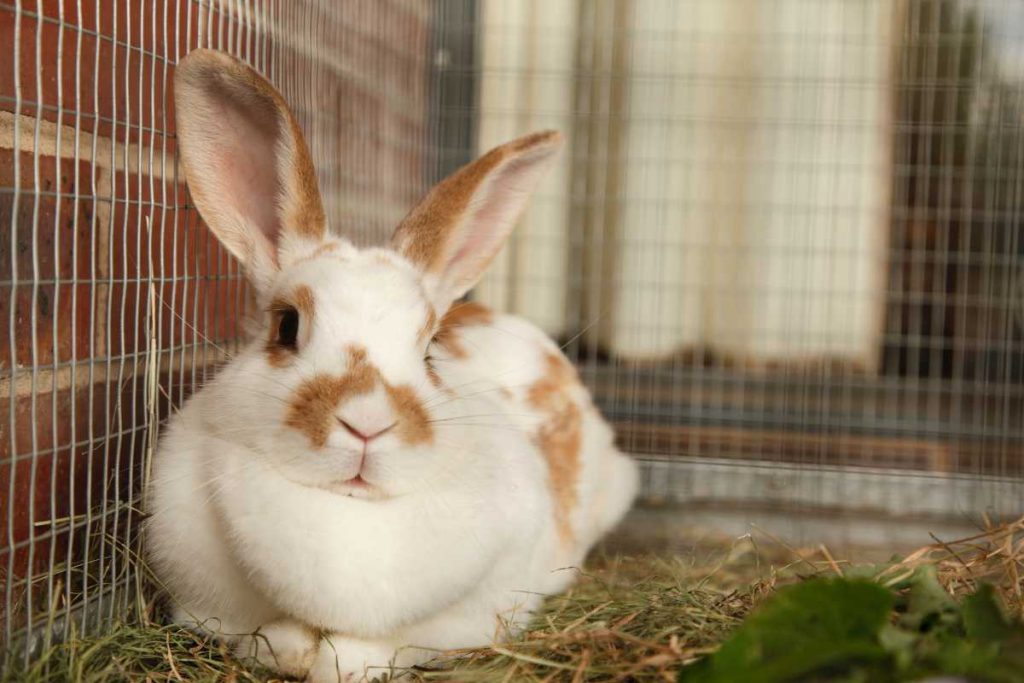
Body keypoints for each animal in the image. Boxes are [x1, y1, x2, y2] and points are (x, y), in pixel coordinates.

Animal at [145, 49, 638, 683]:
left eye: (429, 347)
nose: (367, 422)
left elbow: (384, 646)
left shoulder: (474, 612)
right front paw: (294, 647)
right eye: (287, 326)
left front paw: (342, 660)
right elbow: (267, 637)